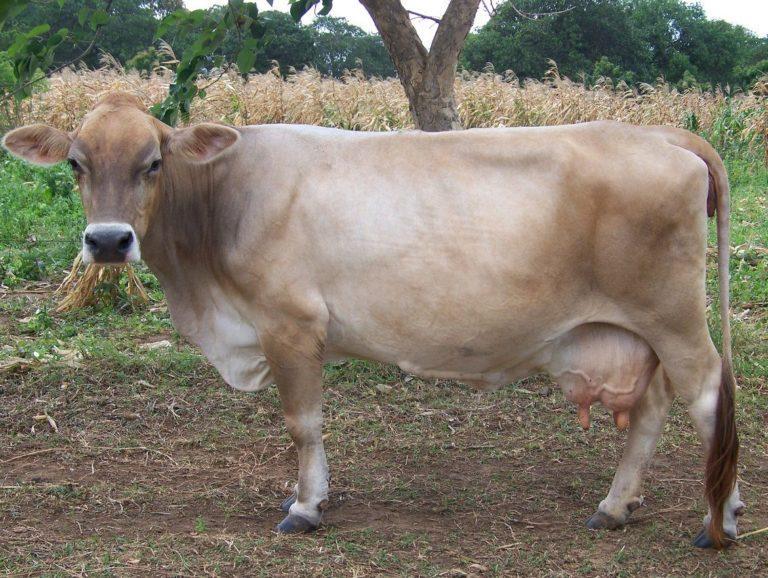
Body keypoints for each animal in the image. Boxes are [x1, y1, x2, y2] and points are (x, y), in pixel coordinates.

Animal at [3, 92, 742, 549]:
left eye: (153, 162)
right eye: (76, 163)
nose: (107, 241)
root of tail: (661, 134)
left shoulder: (289, 324)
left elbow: (303, 424)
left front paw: (304, 507)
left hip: (674, 317)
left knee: (707, 393)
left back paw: (721, 517)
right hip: (640, 329)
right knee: (652, 410)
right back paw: (617, 505)